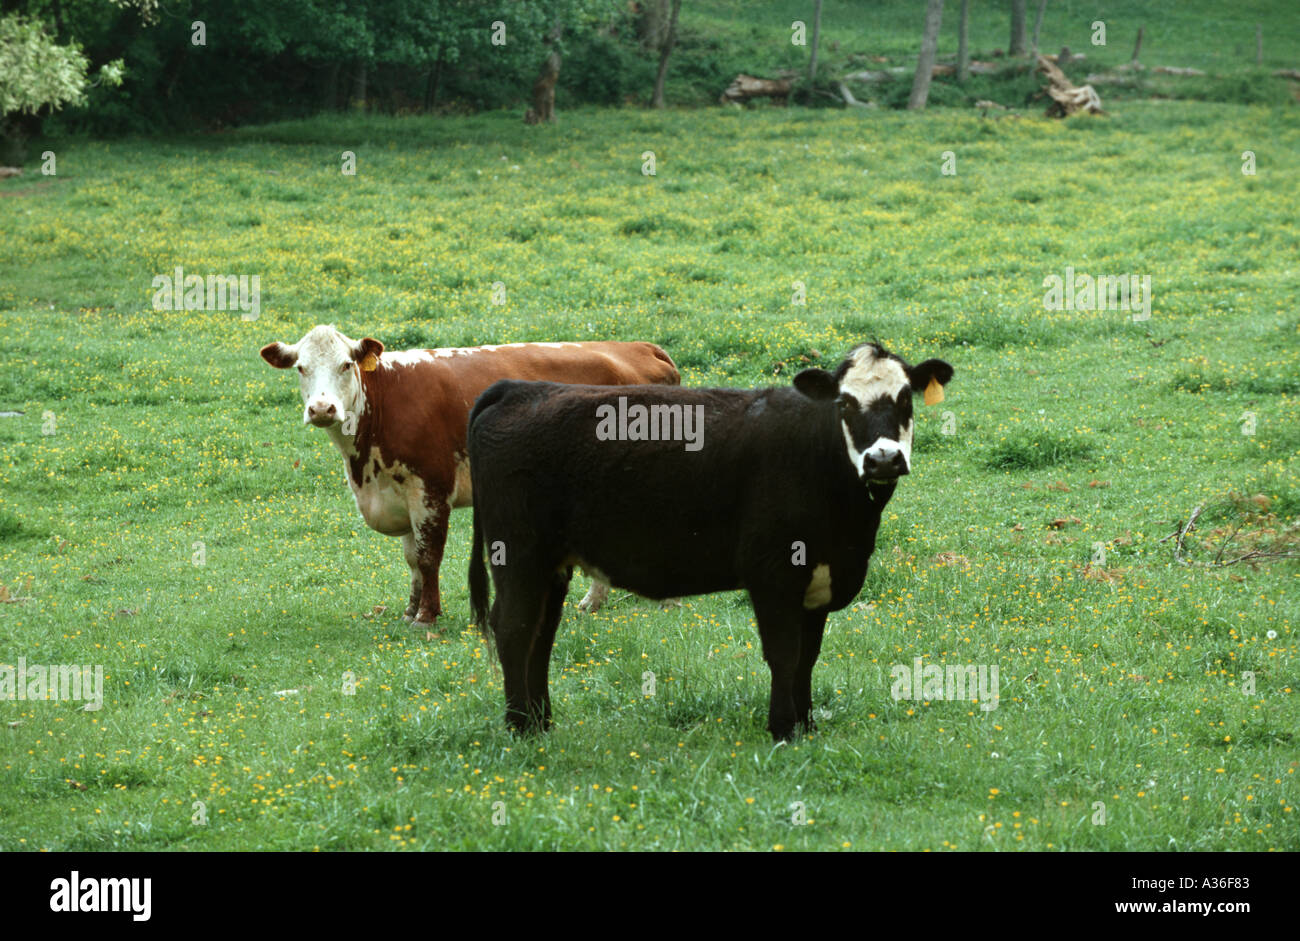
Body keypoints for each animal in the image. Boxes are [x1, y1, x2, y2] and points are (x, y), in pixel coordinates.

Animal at [260, 324, 679, 629]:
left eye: (346, 365)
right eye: (301, 368)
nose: (321, 408)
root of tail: (639, 347)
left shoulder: (430, 487)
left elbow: (428, 555)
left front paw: (426, 617)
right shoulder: (400, 493)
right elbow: (411, 559)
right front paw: (410, 611)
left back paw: (669, 599)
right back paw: (594, 601)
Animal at [467, 341, 953, 741]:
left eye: (905, 398)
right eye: (845, 402)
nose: (883, 458)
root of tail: (519, 389)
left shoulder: (818, 579)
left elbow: (808, 656)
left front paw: (806, 724)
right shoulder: (774, 574)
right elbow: (784, 653)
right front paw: (783, 728)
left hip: (550, 565)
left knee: (541, 633)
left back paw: (541, 721)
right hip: (518, 554)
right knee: (513, 628)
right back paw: (519, 726)